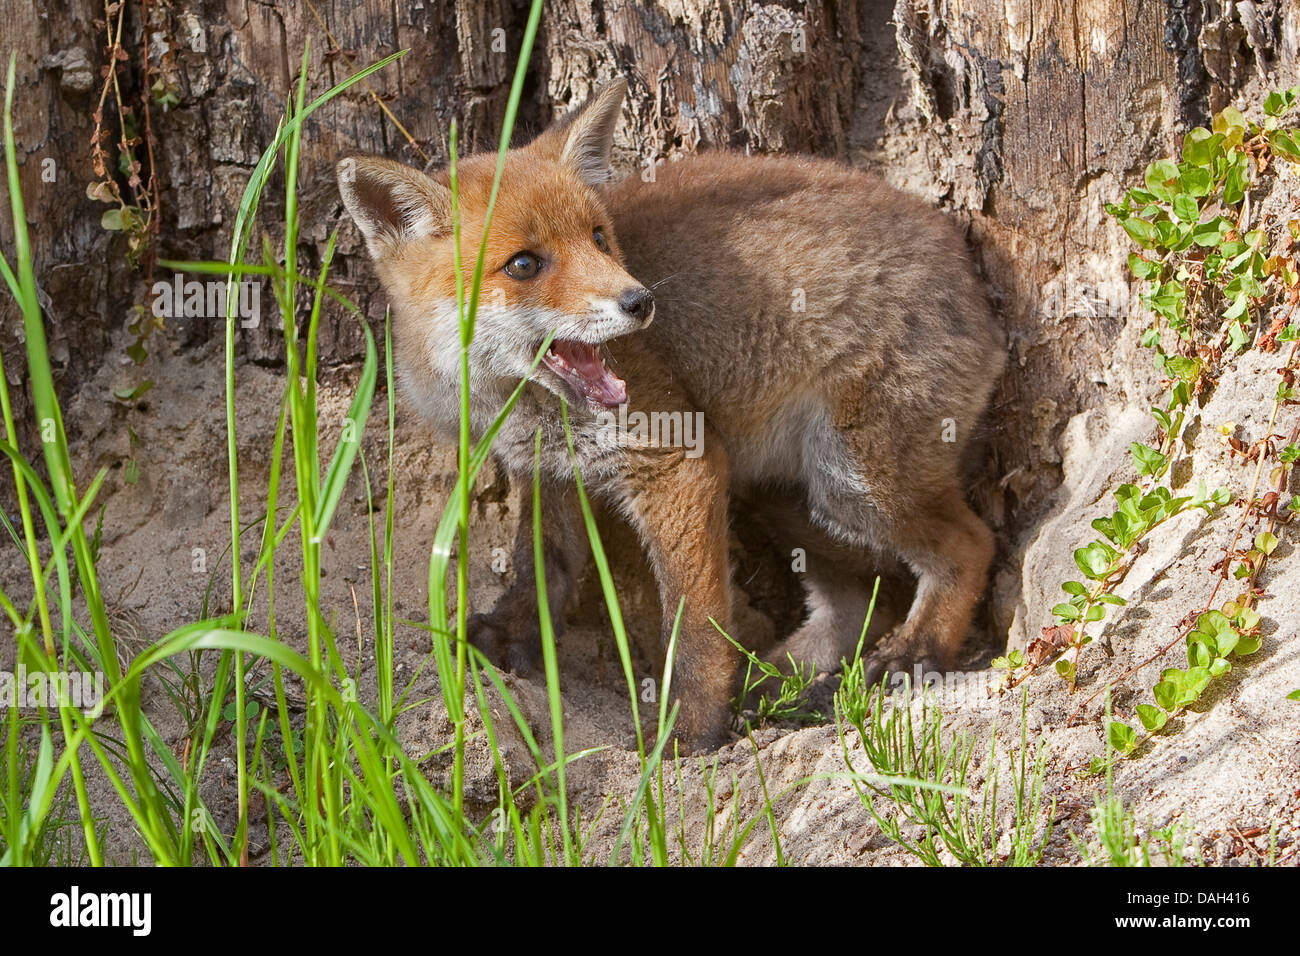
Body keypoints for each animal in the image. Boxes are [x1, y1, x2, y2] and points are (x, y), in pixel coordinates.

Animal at [336, 78, 1006, 752]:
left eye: (599, 237)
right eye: (523, 264)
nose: (639, 302)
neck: (521, 405)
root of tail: (977, 283)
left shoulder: (681, 465)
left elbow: (694, 623)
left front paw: (689, 726)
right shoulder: (550, 473)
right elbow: (541, 567)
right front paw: (514, 634)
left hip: (853, 484)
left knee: (972, 545)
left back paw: (913, 652)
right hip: (786, 494)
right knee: (864, 593)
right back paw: (776, 681)